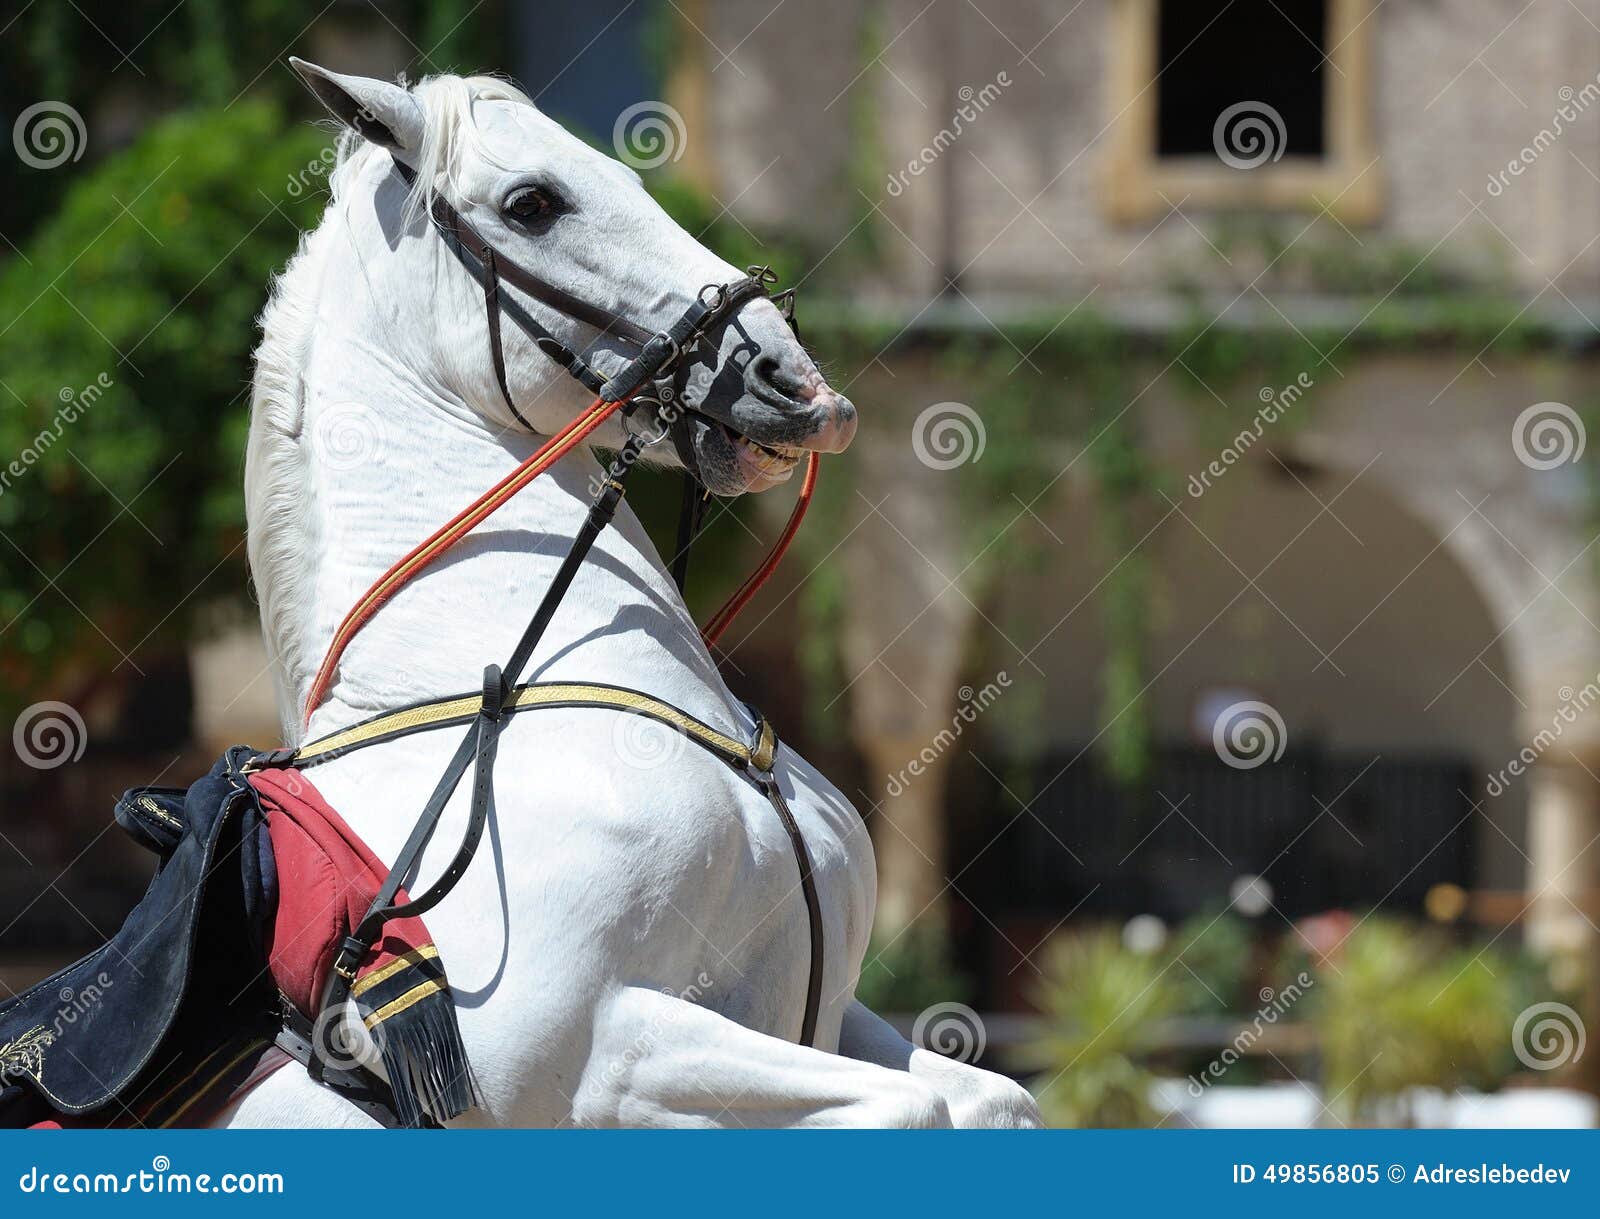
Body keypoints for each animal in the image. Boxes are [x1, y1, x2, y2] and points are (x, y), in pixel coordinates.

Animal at [224, 60, 1041, 1128]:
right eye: (533, 203)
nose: (796, 384)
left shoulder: (832, 1013)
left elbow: (989, 1098)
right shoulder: (608, 1054)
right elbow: (913, 1109)